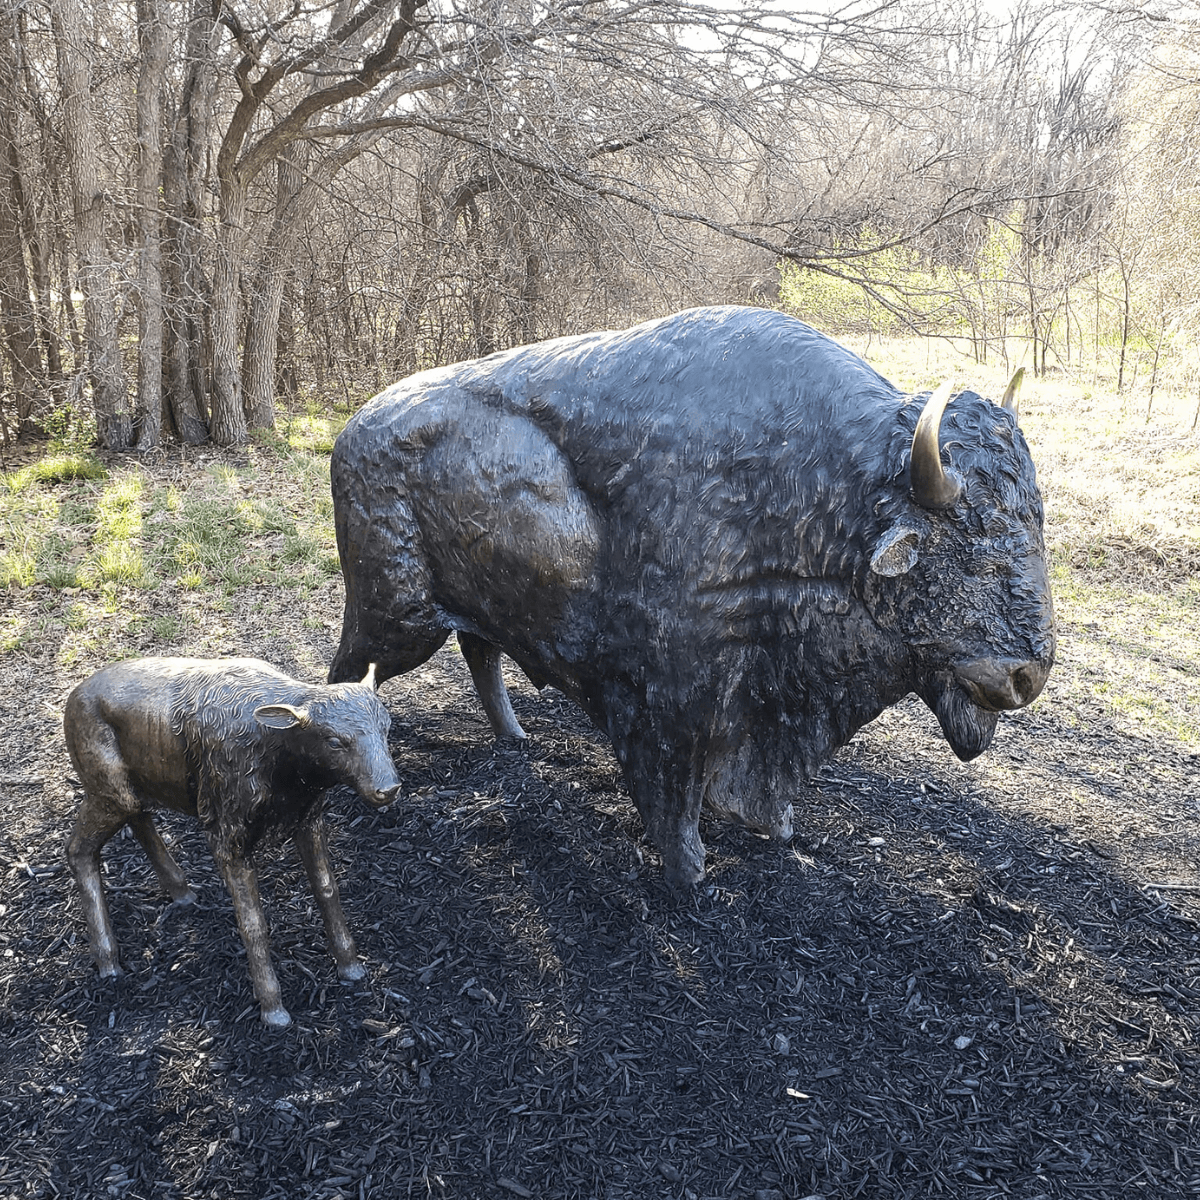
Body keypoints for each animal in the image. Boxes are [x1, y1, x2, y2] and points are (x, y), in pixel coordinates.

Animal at [328, 306, 1055, 886]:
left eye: (1038, 531)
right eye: (975, 556)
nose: (1028, 675)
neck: (826, 491)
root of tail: (354, 428)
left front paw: (775, 831)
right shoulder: (673, 694)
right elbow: (672, 790)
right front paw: (689, 874)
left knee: (481, 653)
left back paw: (514, 738)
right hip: (395, 619)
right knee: (349, 671)